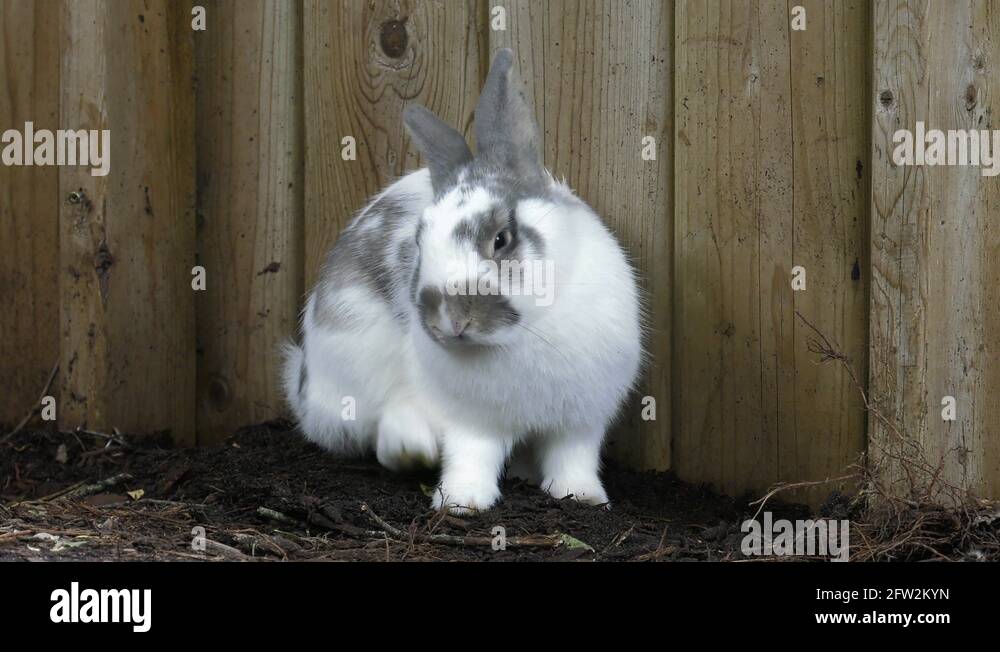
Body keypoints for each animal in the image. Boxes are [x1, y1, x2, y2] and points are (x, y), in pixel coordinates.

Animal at [283, 49, 642, 514]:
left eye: (501, 239)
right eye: (419, 241)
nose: (449, 321)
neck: (532, 330)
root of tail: (305, 386)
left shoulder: (581, 420)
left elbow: (573, 458)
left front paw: (582, 497)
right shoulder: (470, 422)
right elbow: (471, 455)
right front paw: (462, 502)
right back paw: (411, 447)